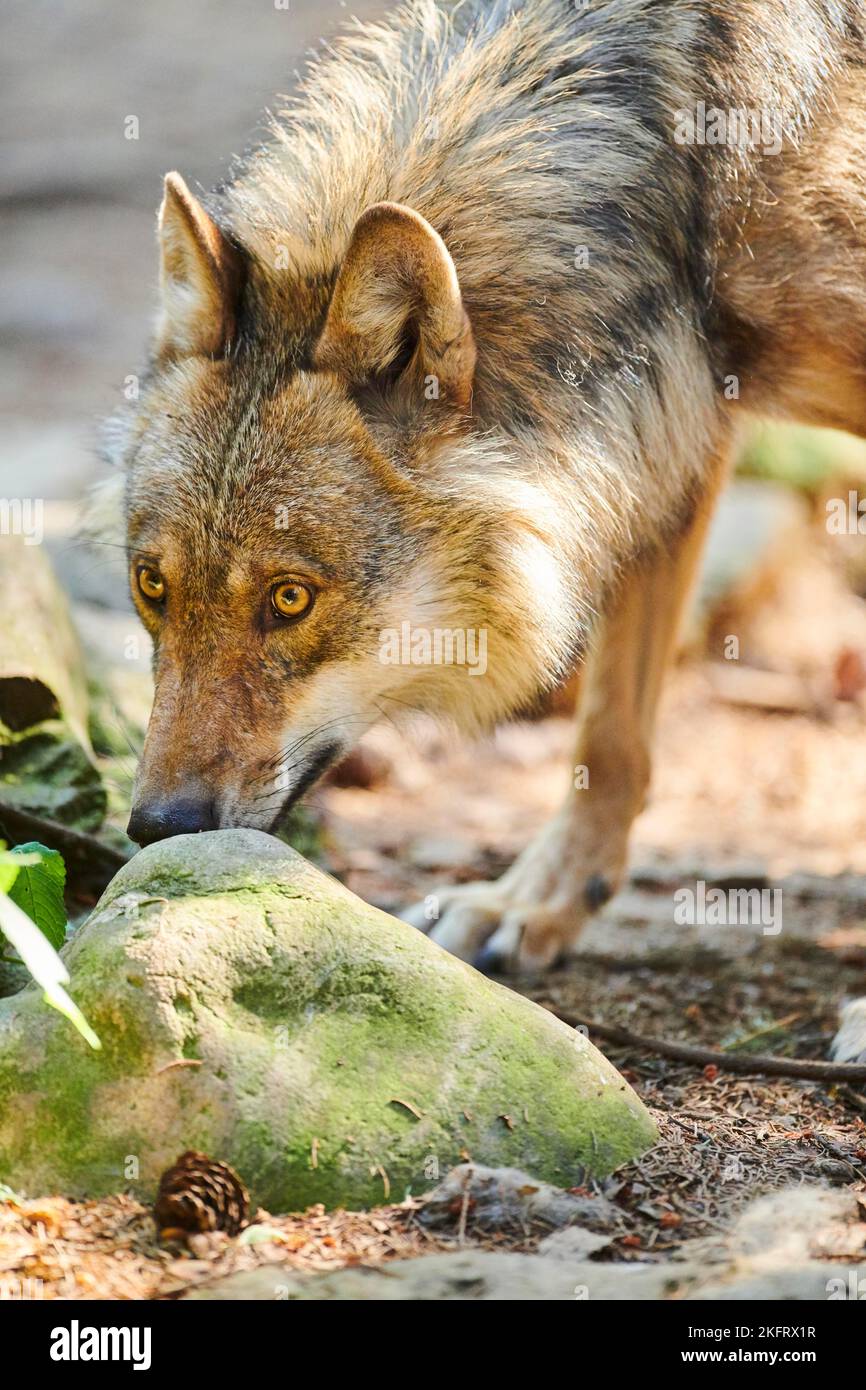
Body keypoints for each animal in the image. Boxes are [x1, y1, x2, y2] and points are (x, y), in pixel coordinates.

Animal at [112, 0, 866, 1058]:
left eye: (290, 600)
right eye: (152, 587)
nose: (158, 828)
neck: (706, 171)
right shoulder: (664, 428)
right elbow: (609, 737)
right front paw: (532, 903)